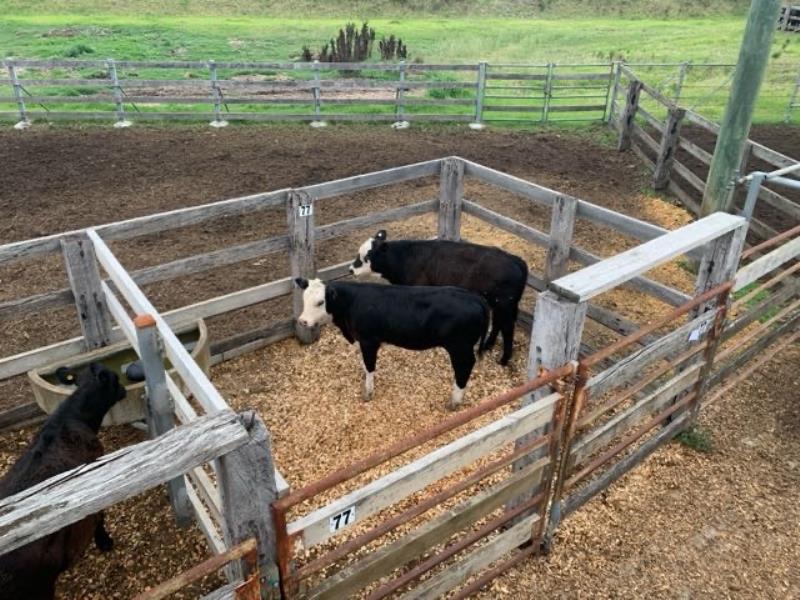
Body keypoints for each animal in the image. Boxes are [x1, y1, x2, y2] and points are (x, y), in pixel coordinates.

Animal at [295, 278, 490, 410]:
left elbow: (369, 366)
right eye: (303, 299)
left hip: (459, 348)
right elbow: (365, 364)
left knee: (464, 367)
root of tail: (473, 296)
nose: (302, 321)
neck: (352, 302)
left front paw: (368, 392)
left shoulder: (369, 341)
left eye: (320, 302)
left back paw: (454, 401)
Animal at [349, 230, 528, 366]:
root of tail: (515, 259)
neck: (406, 257)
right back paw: (489, 345)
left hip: (504, 304)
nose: (351, 269)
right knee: (498, 323)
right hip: (499, 304)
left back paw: (504, 359)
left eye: (367, 257)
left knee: (507, 328)